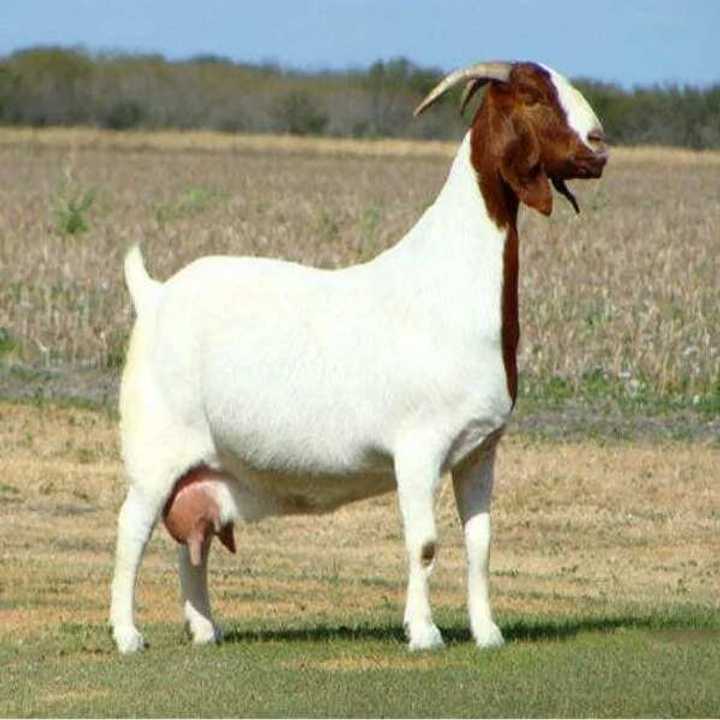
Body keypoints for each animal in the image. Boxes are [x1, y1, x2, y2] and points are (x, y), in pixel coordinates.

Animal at [110, 60, 608, 654]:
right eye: (532, 96)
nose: (599, 146)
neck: (449, 282)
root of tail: (155, 295)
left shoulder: (480, 450)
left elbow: (481, 544)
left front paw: (488, 633)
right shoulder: (418, 448)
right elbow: (424, 543)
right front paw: (424, 632)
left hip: (204, 468)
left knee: (194, 541)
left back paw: (206, 628)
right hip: (155, 449)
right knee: (132, 529)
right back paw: (127, 634)